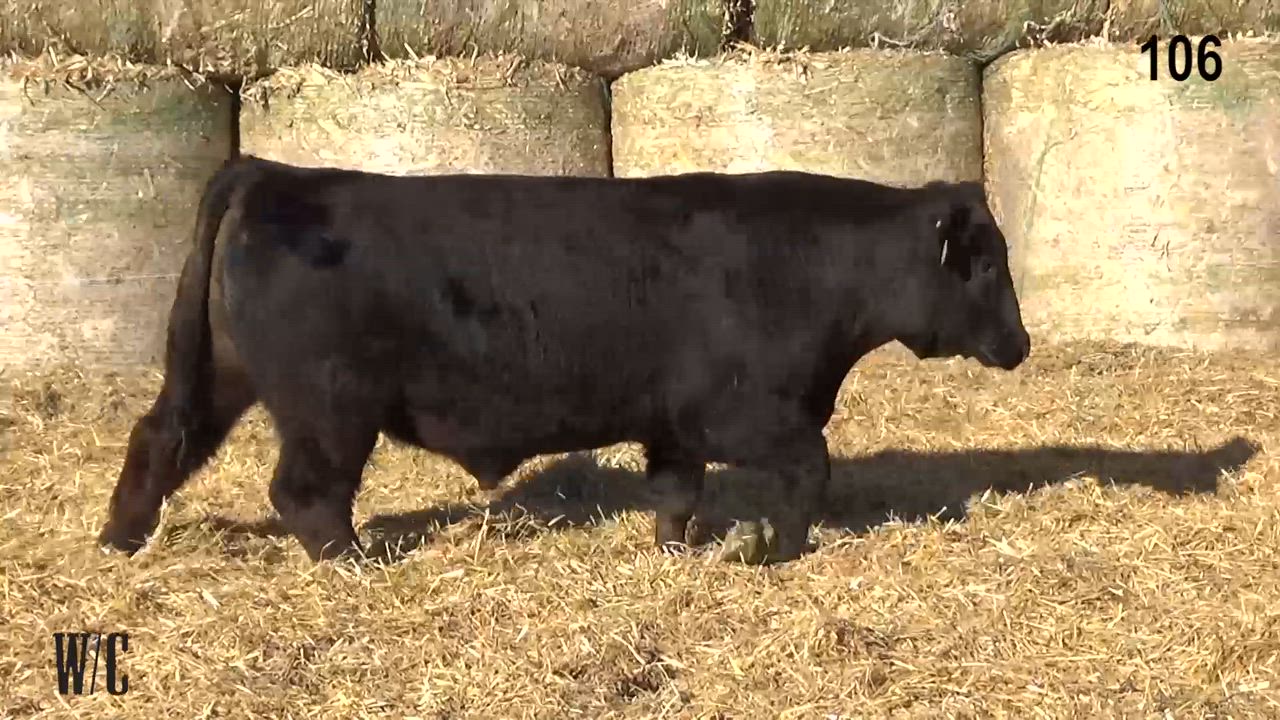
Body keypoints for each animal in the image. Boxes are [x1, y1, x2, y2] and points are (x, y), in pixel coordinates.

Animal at [97, 155, 1031, 564]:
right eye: (986, 263)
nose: (1020, 344)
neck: (805, 263)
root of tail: (271, 171)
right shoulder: (748, 414)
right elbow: (809, 469)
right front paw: (775, 549)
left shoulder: (673, 426)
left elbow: (675, 495)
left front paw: (677, 552)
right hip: (329, 409)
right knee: (303, 493)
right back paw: (353, 561)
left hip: (221, 380)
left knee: (160, 440)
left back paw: (119, 540)